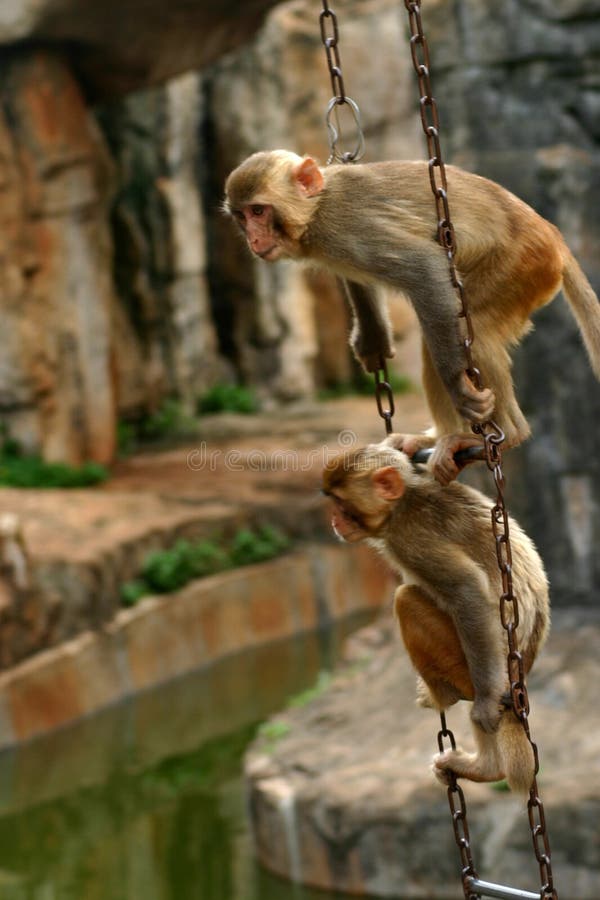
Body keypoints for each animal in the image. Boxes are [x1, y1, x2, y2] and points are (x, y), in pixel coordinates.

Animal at [225, 150, 600, 484]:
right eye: (241, 217)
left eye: (259, 210)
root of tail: (552, 235)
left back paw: (504, 434)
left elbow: (425, 269)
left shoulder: (345, 229)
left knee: (473, 323)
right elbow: (361, 280)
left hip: (519, 265)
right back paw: (434, 439)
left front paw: (457, 386)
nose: (253, 239)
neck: (315, 209)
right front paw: (373, 338)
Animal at [321, 437, 550, 794]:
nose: (334, 521)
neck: (401, 504)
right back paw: (486, 766)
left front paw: (485, 702)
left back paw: (448, 704)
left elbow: (467, 590)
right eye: (333, 503)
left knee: (406, 600)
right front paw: (401, 444)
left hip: (465, 662)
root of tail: (520, 674)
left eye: (342, 505)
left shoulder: (410, 539)